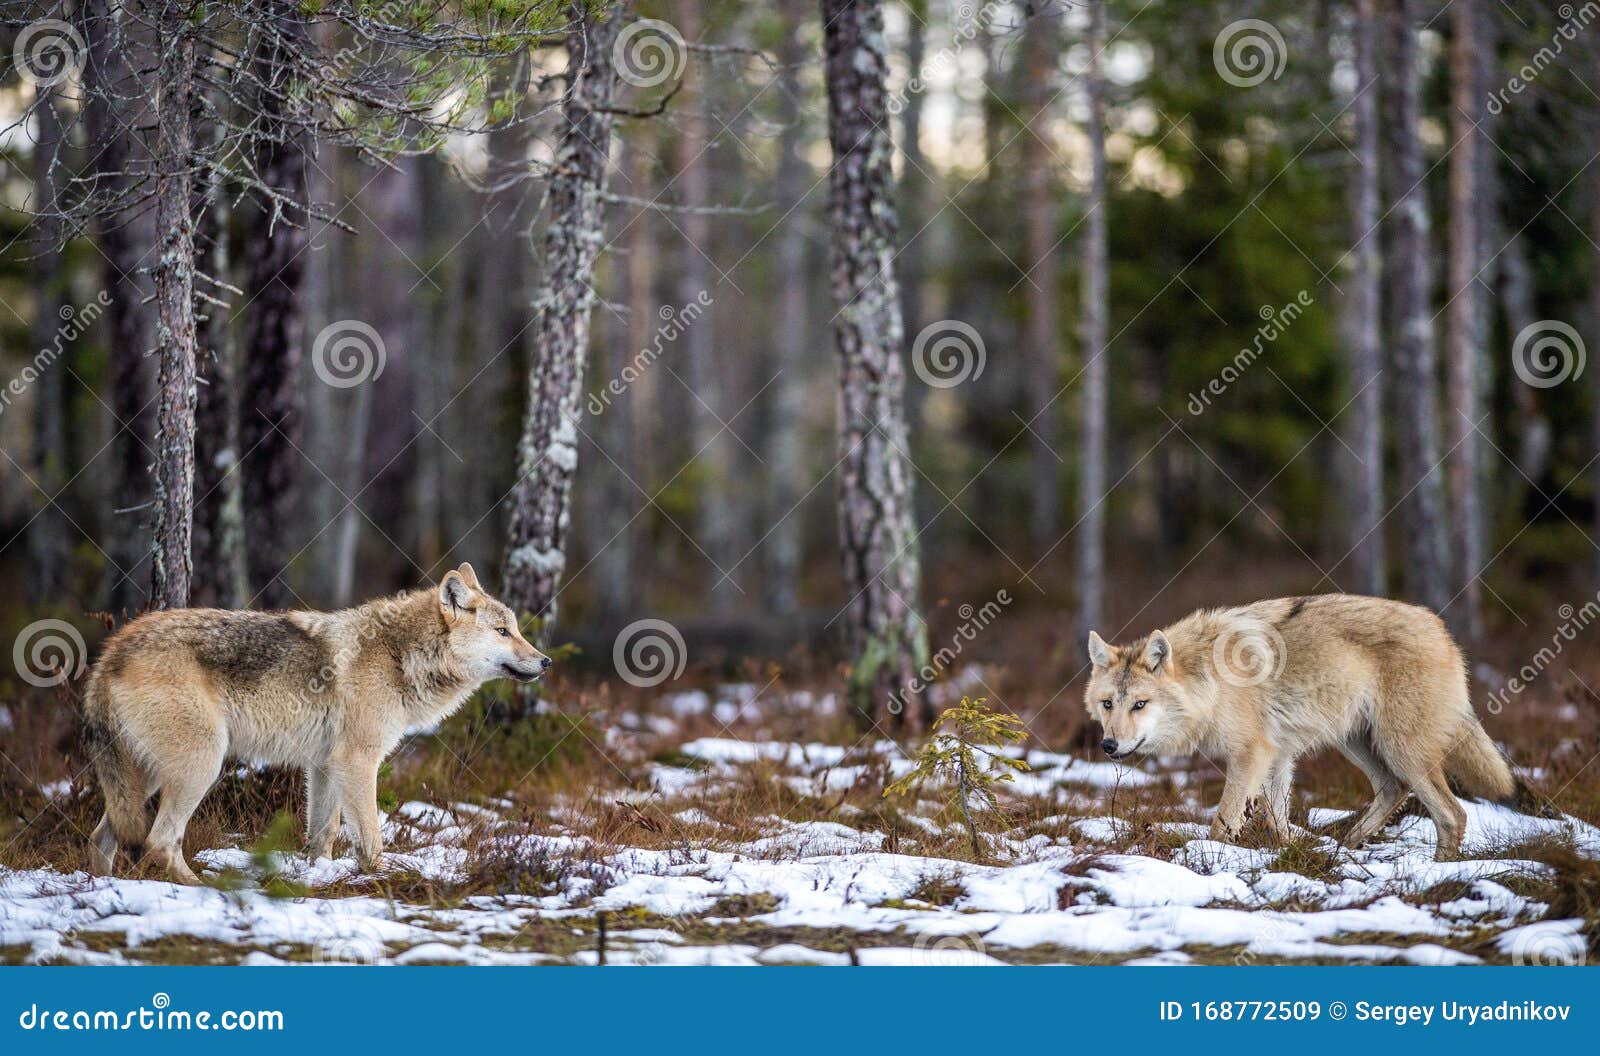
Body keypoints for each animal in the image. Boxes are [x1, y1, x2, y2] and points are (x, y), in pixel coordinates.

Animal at [82, 563, 549, 883]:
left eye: (517, 629)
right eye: (504, 631)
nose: (545, 661)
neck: (399, 655)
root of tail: (110, 653)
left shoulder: (325, 766)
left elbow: (322, 836)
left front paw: (318, 877)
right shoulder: (357, 762)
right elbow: (371, 836)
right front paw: (382, 880)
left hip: (145, 778)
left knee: (102, 837)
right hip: (201, 766)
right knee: (159, 842)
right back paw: (202, 888)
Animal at [1084, 595, 1520, 860]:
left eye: (1140, 704)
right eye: (1108, 704)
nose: (1109, 745)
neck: (1208, 680)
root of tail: (1443, 631)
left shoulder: (1252, 754)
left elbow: (1222, 824)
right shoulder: (1277, 756)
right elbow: (1277, 820)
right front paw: (1297, 854)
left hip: (1401, 750)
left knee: (1452, 814)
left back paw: (1438, 872)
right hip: (1358, 744)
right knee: (1393, 789)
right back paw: (1346, 846)